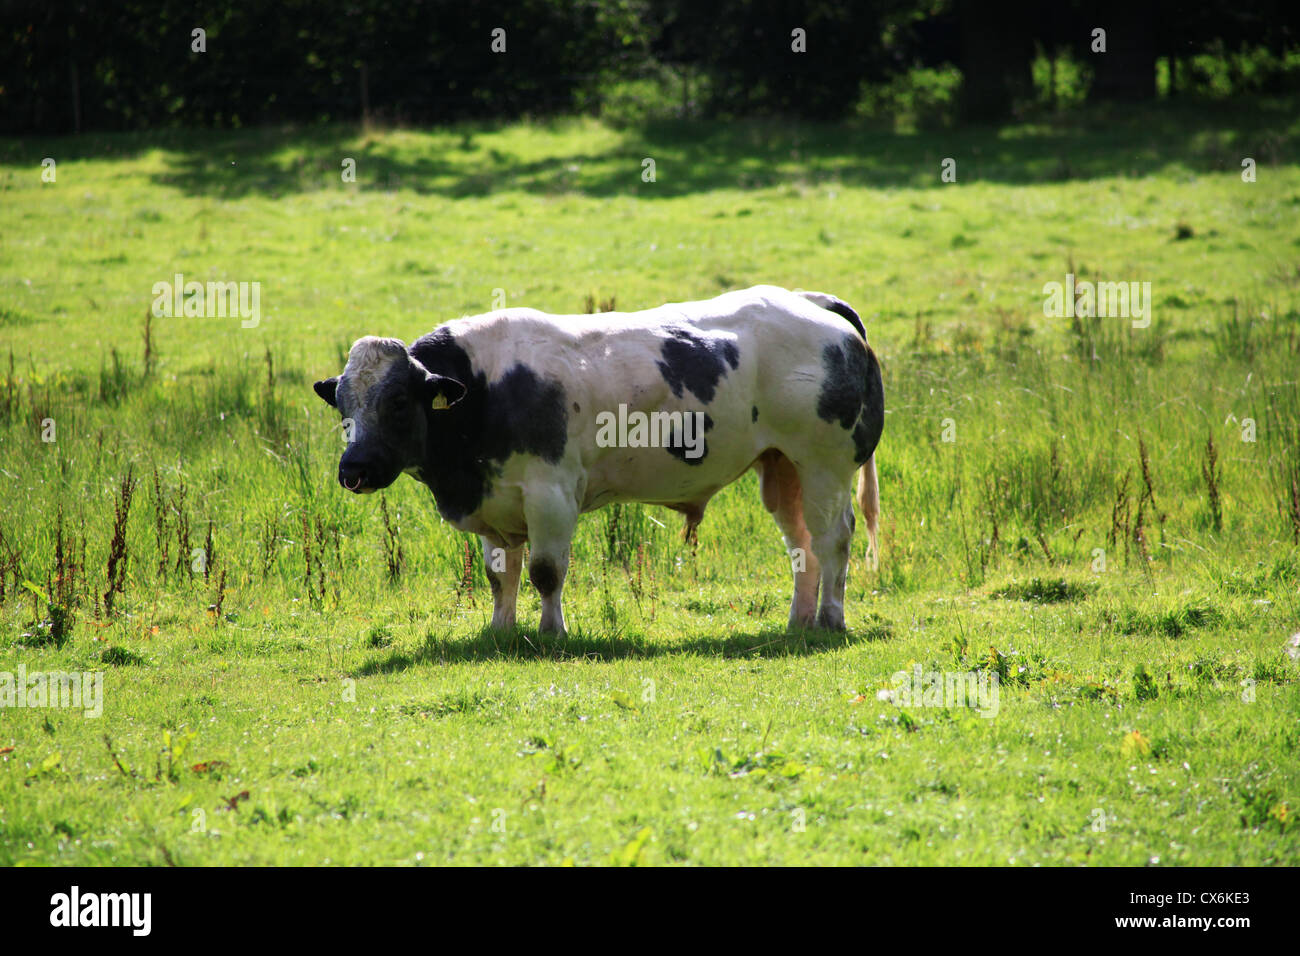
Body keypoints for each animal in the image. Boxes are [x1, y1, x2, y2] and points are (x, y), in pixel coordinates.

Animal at [313, 285, 883, 635]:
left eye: (398, 401)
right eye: (342, 404)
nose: (353, 470)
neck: (484, 391)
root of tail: (810, 301)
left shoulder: (551, 494)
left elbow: (545, 571)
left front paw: (551, 631)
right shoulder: (493, 502)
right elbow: (501, 576)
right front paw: (500, 630)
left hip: (825, 465)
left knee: (833, 538)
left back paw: (831, 618)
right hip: (783, 466)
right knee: (802, 544)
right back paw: (799, 620)